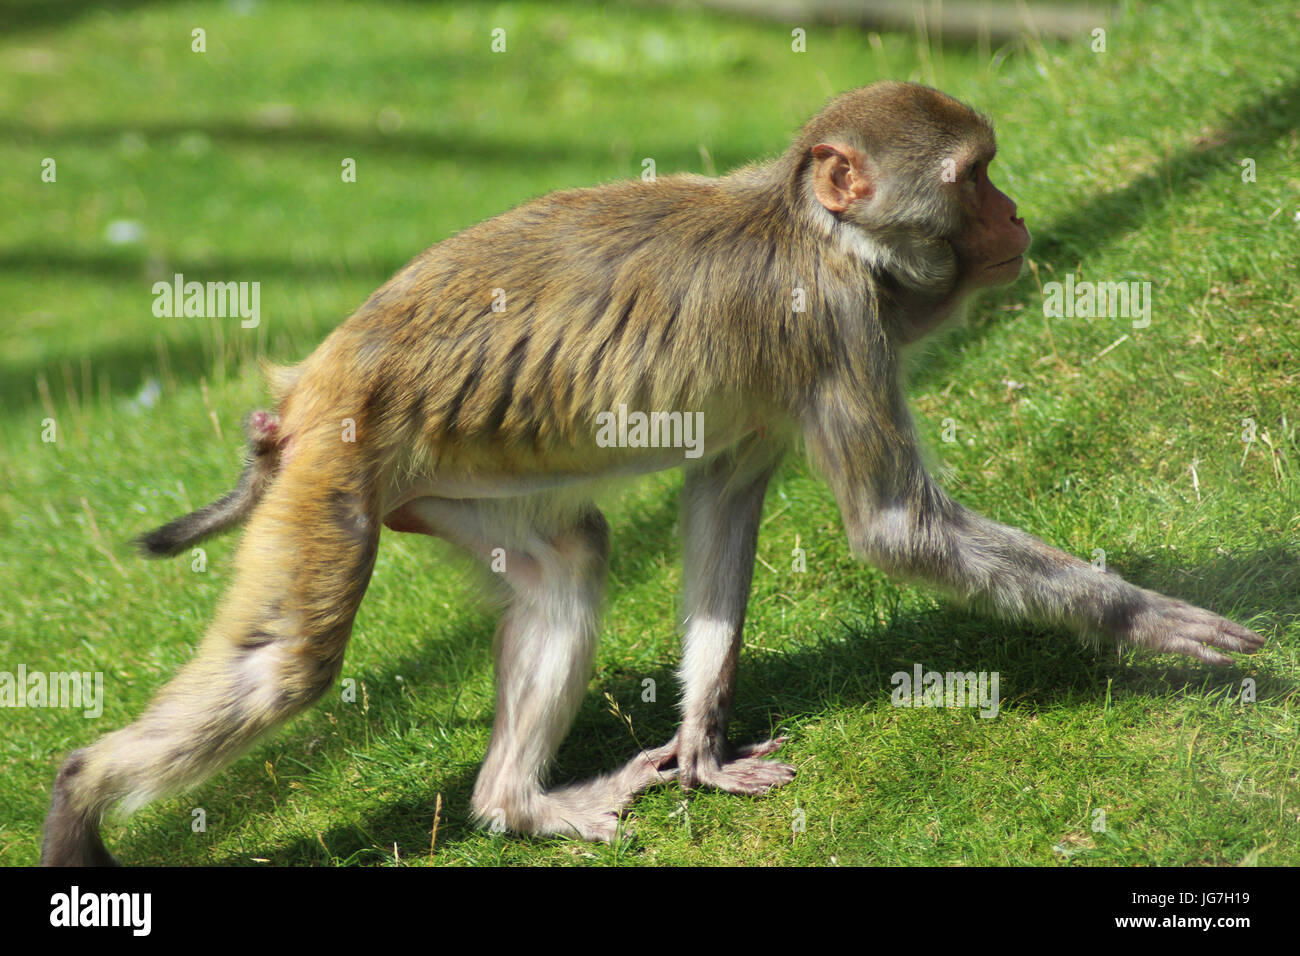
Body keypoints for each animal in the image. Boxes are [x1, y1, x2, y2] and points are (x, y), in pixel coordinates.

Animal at [41, 81, 1265, 865]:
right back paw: (79, 790)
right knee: (290, 665)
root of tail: (317, 372)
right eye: (973, 178)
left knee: (566, 561)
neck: (824, 236)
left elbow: (721, 498)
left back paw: (516, 805)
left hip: (438, 477)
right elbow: (895, 528)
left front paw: (701, 741)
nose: (1013, 215)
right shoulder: (831, 325)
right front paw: (1154, 620)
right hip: (333, 469)